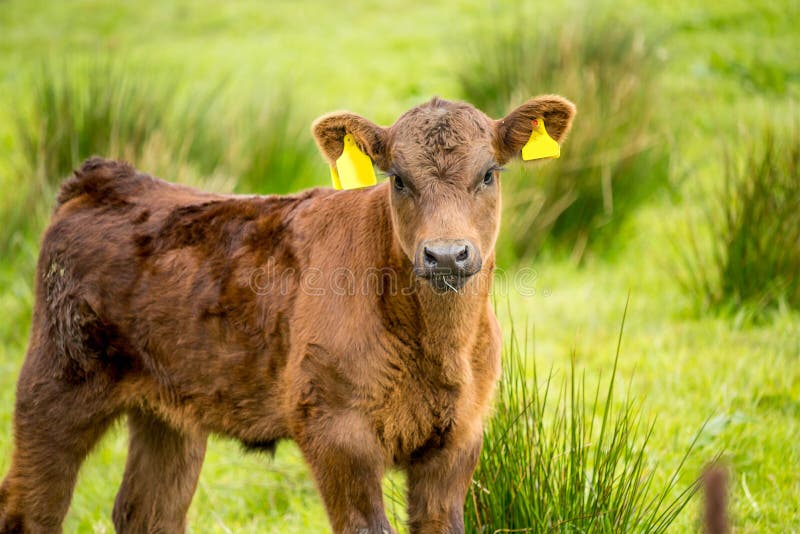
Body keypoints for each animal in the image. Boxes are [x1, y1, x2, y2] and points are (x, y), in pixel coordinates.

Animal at [0, 95, 575, 533]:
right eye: (397, 179)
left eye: (489, 174)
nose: (447, 255)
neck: (439, 348)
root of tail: (103, 179)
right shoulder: (336, 432)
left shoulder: (459, 438)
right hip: (55, 385)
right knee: (30, 509)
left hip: (168, 411)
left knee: (147, 511)